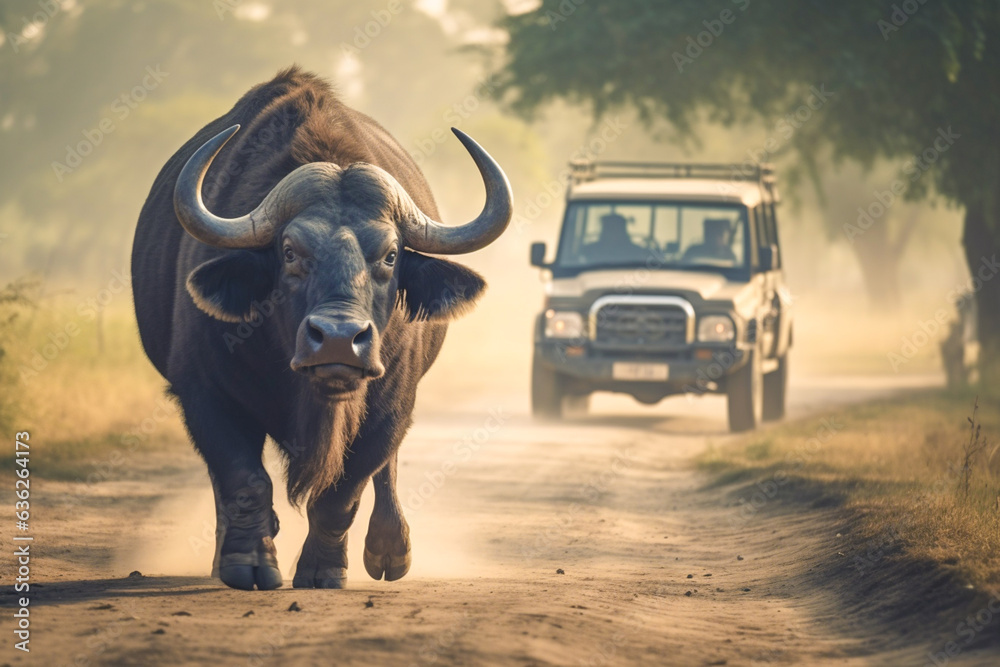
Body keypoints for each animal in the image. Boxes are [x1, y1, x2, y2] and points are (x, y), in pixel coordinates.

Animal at [132, 67, 512, 590]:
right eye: (291, 252)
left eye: (390, 255)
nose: (337, 340)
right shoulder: (203, 392)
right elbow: (243, 479)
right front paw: (248, 562)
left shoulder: (392, 401)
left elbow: (344, 491)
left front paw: (323, 569)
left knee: (386, 471)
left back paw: (390, 550)